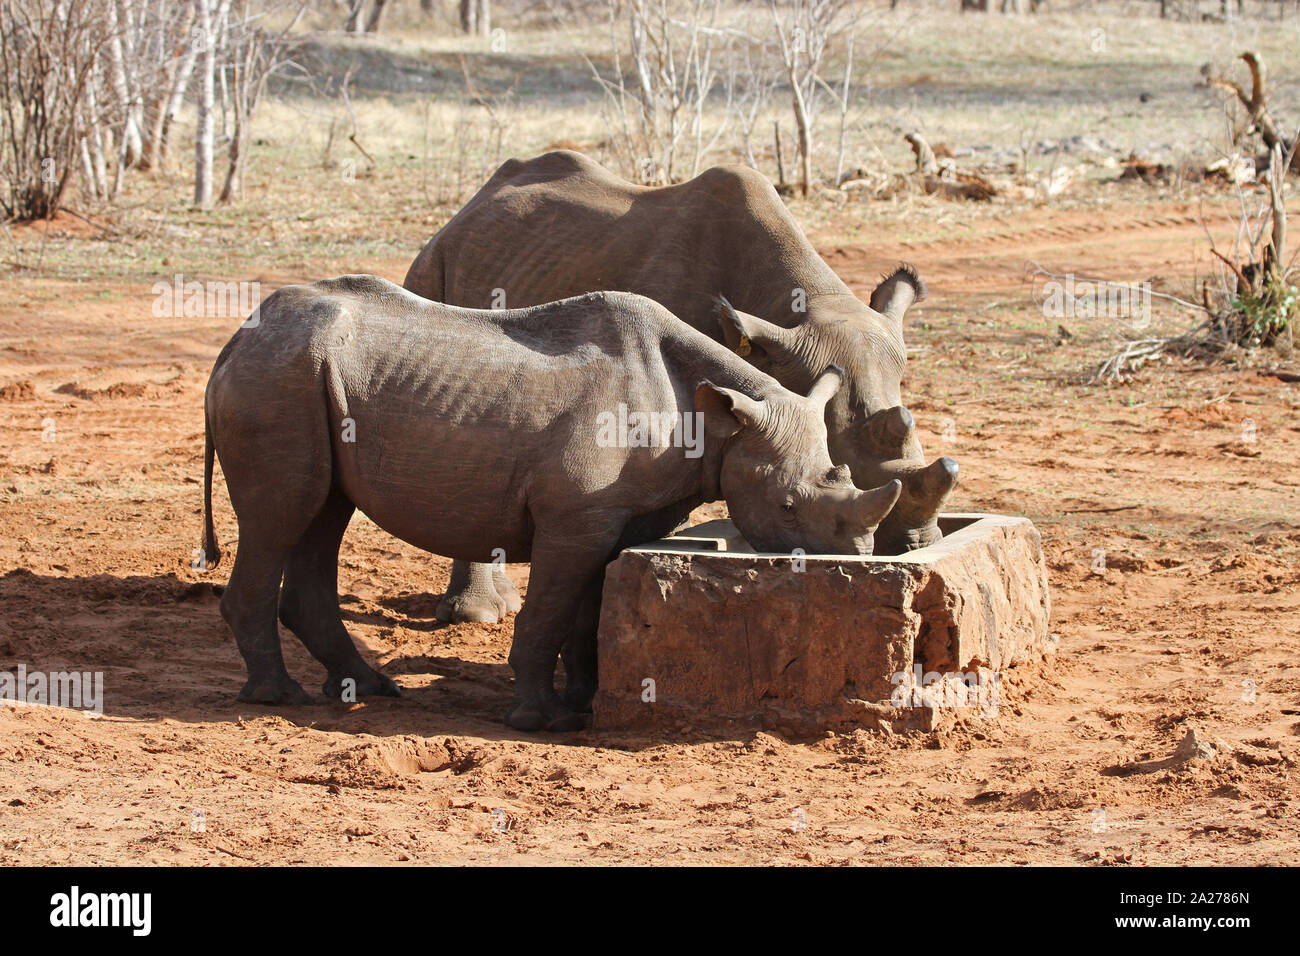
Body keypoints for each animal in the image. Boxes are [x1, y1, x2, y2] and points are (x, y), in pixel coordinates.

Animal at [201, 275, 902, 731]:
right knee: (281, 518)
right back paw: (280, 698)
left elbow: (587, 613)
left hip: (307, 379)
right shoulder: (576, 519)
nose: (861, 551)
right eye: (788, 508)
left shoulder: (619, 519)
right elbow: (549, 613)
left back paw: (365, 690)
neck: (724, 420)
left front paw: (582, 706)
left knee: (322, 515)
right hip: (279, 378)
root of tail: (233, 341)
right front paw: (538, 721)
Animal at [404, 150, 958, 624]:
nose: (913, 545)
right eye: (848, 466)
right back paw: (478, 614)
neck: (792, 309)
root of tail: (470, 205)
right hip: (432, 266)